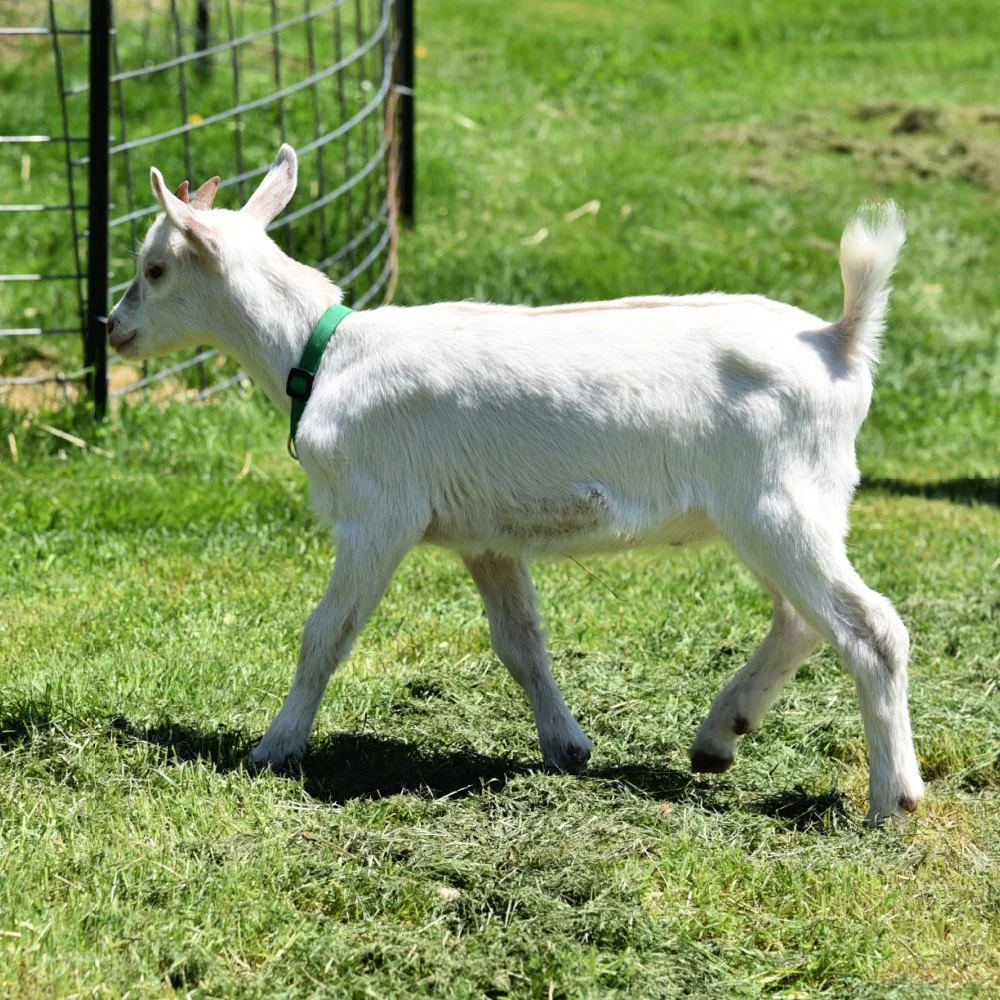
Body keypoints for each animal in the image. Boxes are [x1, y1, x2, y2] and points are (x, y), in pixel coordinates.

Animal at [107, 144, 924, 824]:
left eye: (154, 269)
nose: (110, 327)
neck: (325, 351)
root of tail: (840, 341)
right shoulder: (486, 539)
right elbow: (521, 641)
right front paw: (567, 747)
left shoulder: (378, 513)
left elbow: (326, 632)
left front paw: (273, 748)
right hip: (779, 509)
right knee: (801, 620)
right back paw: (719, 738)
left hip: (777, 503)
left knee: (870, 627)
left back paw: (893, 799)